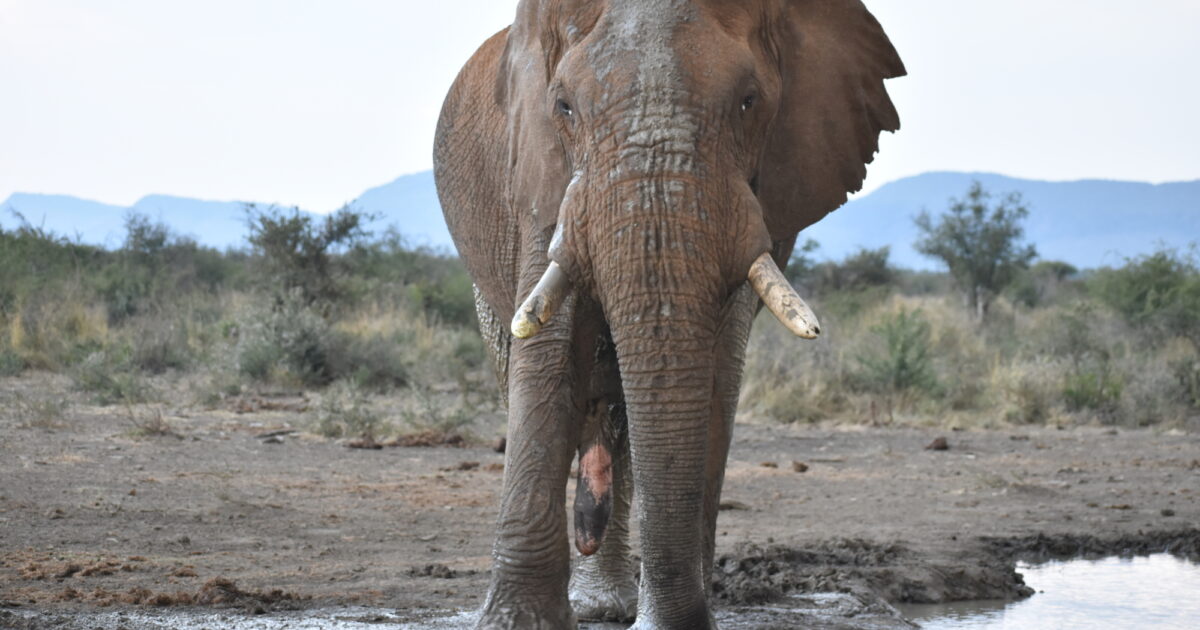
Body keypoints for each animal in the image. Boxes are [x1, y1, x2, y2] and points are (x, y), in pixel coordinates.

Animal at [432, 1, 904, 628]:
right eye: (564, 107)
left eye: (749, 101)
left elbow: (714, 371)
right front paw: (515, 623)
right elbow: (547, 354)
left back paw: (607, 603)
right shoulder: (541, 176)